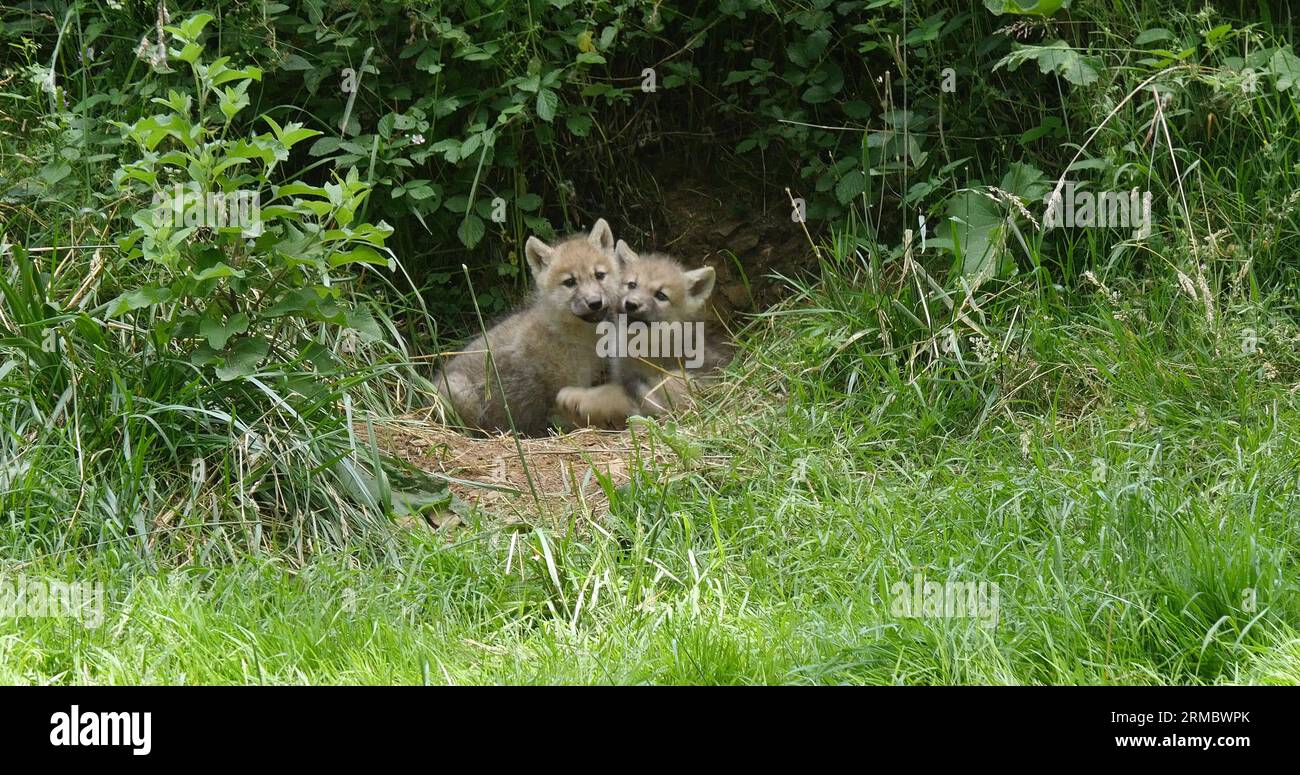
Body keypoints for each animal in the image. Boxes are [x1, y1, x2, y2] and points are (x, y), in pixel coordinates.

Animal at [434, 218, 622, 436]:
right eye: (570, 282)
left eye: (599, 275)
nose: (595, 303)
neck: (580, 337)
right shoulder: (564, 395)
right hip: (461, 394)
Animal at [556, 241, 732, 429]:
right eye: (632, 284)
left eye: (661, 295)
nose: (631, 304)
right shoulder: (624, 377)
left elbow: (610, 393)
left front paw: (577, 399)